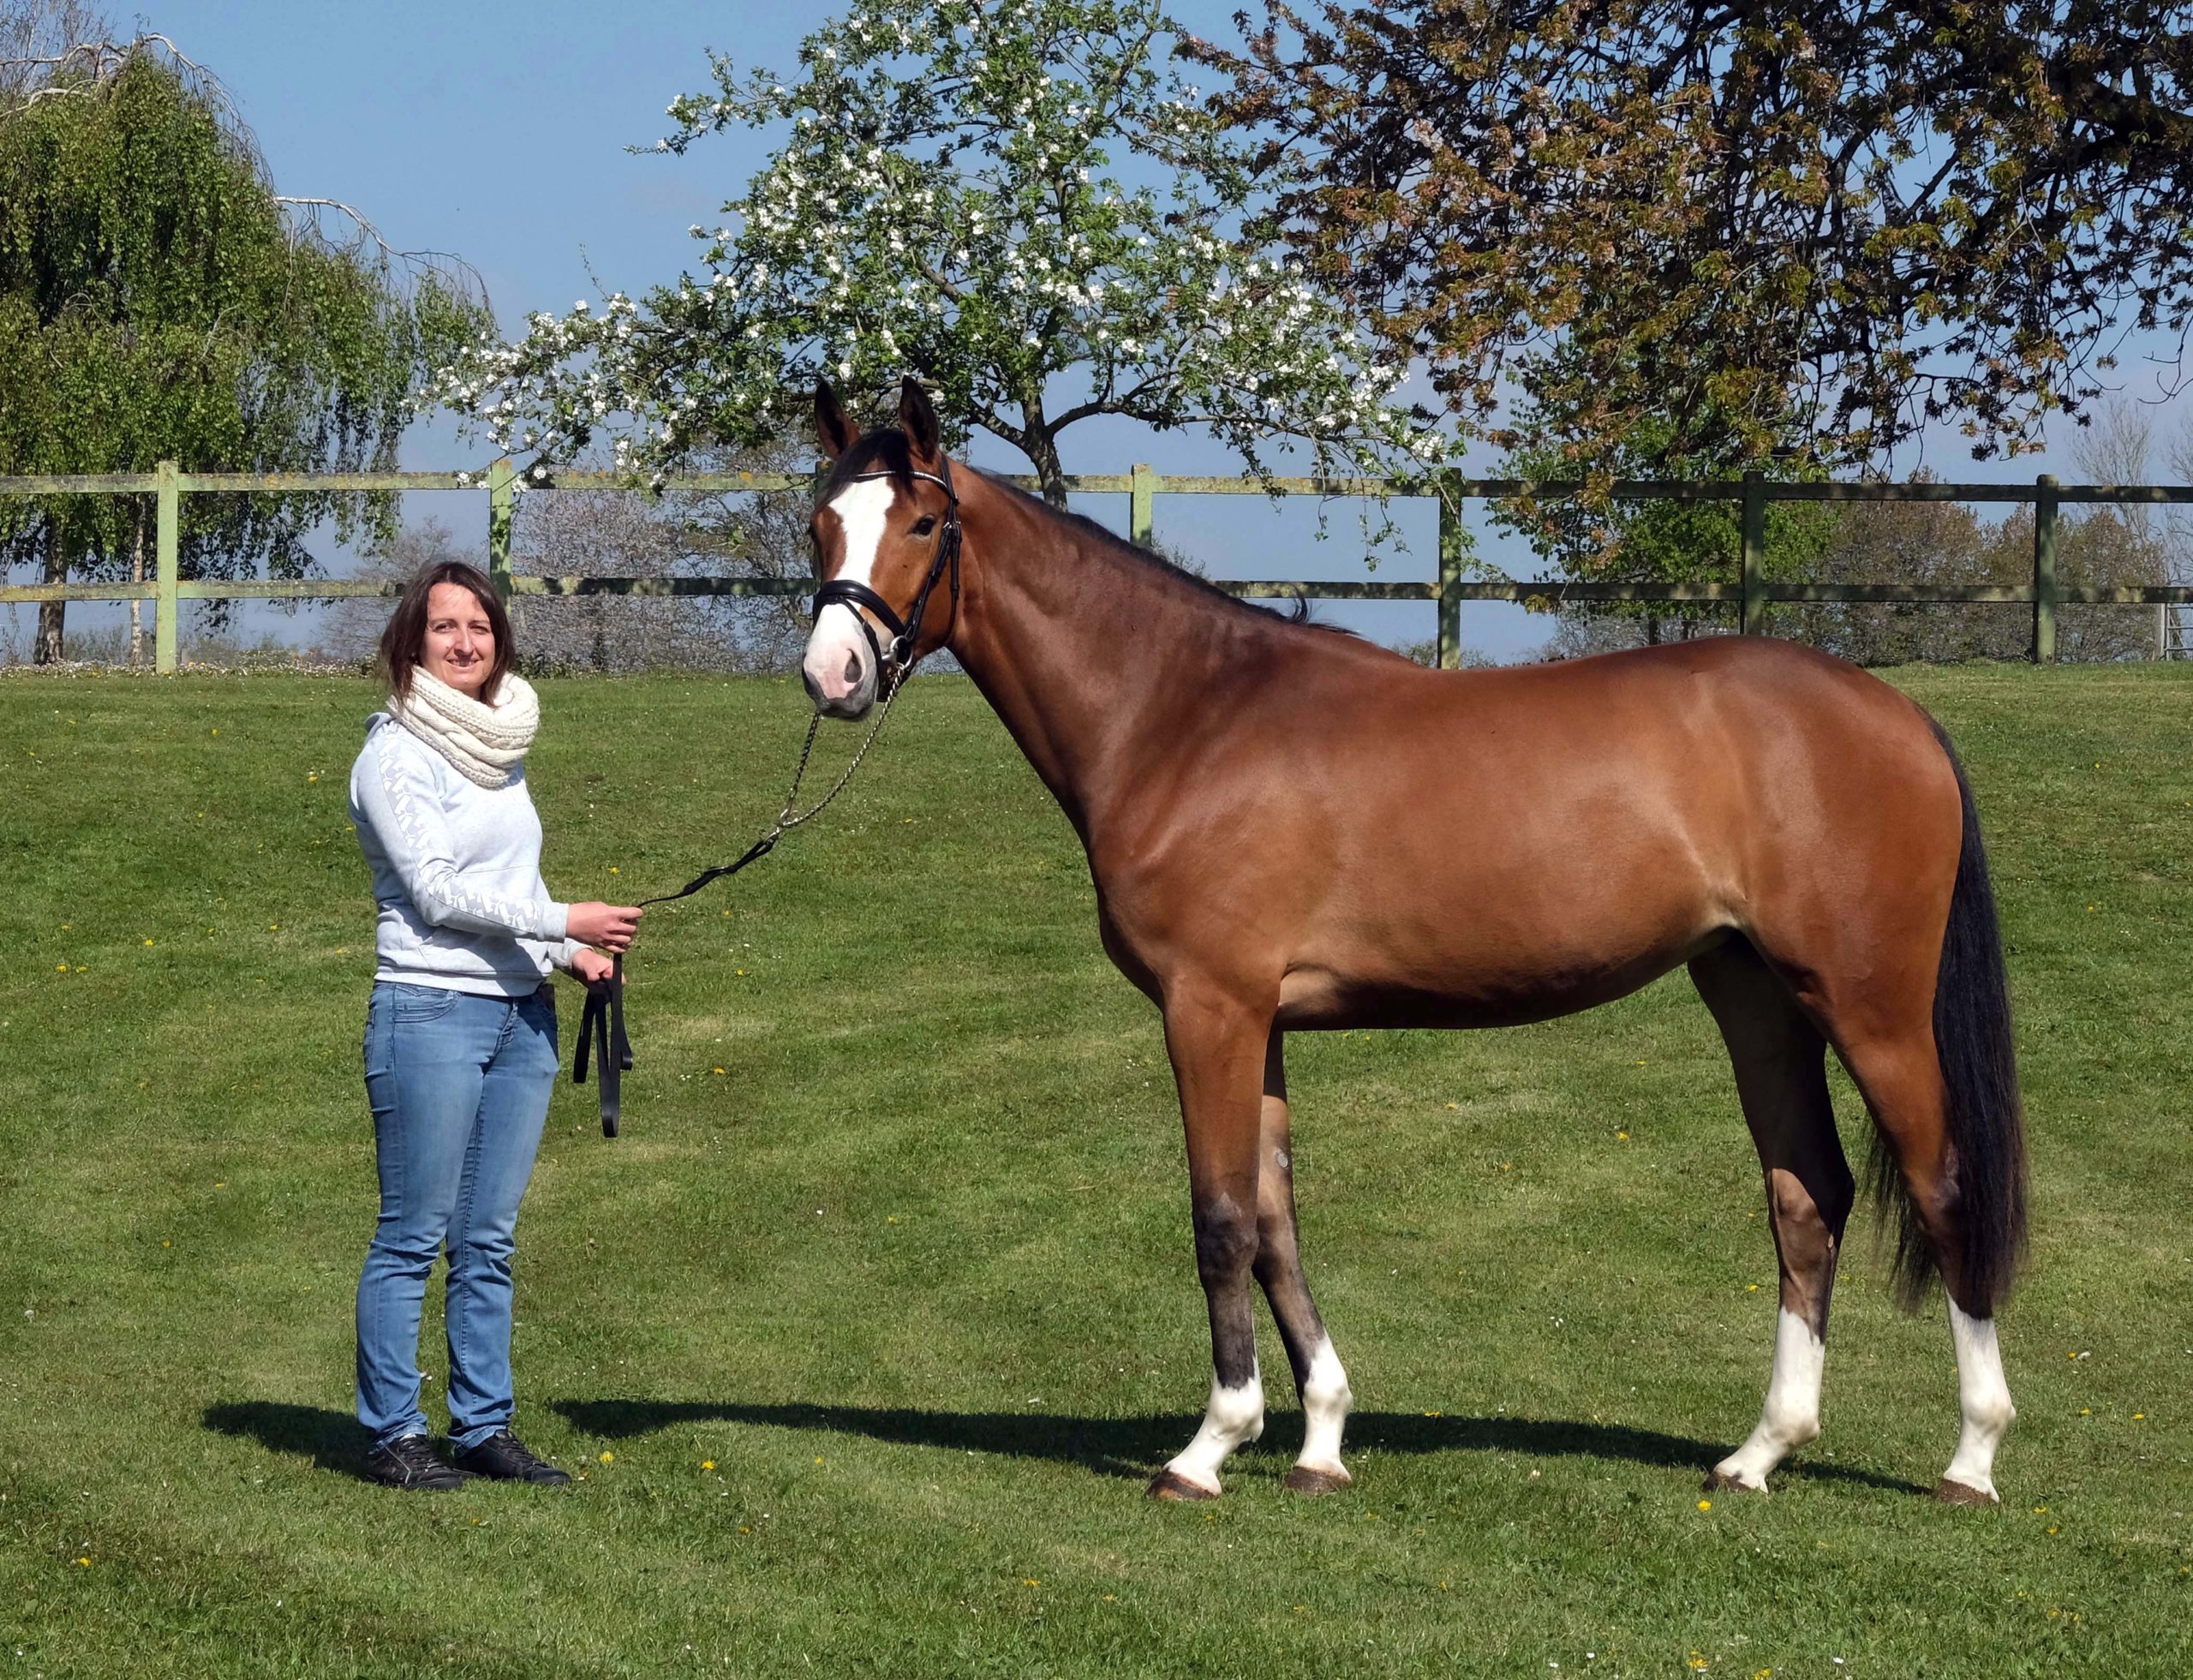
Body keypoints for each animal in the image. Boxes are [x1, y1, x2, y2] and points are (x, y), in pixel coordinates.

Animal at [798, 377, 2028, 1506]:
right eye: (819, 520)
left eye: (921, 523)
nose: (832, 676)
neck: (1186, 716)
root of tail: (1898, 715)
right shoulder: (1262, 1021)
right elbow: (1278, 1220)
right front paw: (1319, 1440)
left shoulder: (1210, 1008)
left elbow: (1220, 1219)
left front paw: (1208, 1447)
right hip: (1756, 995)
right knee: (1807, 1196)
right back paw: (1761, 1452)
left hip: (1870, 1005)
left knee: (1942, 1187)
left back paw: (1971, 1456)